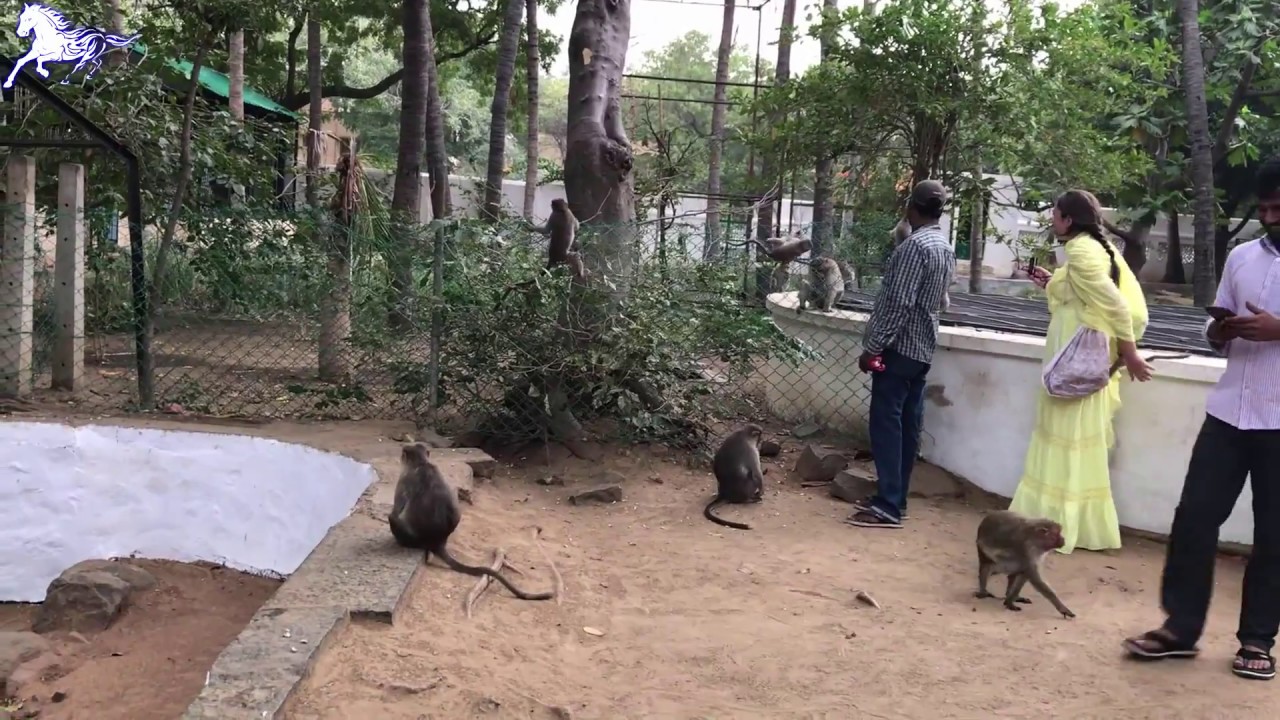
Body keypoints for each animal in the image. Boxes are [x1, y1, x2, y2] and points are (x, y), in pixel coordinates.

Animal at [389, 443, 554, 601]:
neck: (422, 463)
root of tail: (438, 541)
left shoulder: (404, 479)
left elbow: (396, 510)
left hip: (409, 538)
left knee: (393, 518)